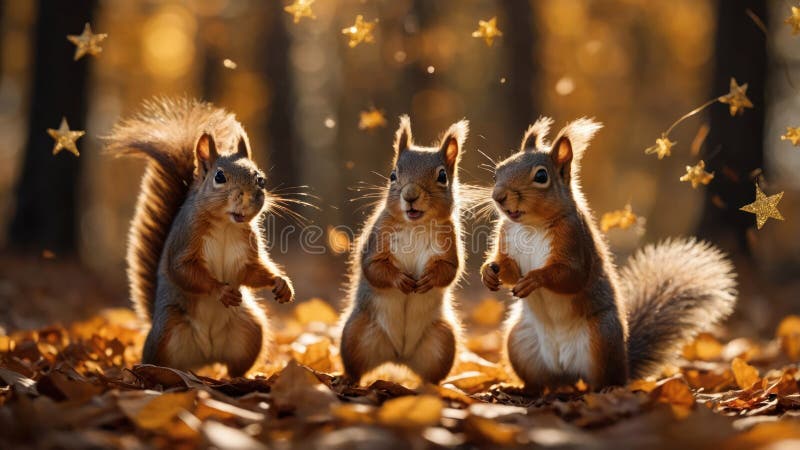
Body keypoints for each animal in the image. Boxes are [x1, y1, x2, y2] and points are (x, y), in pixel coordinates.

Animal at [106, 98, 295, 377]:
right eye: (219, 176)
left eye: (261, 179)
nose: (250, 197)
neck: (226, 225)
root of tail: (205, 357)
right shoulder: (186, 239)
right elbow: (183, 270)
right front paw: (220, 290)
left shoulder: (247, 251)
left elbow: (252, 271)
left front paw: (281, 283)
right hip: (167, 330)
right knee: (159, 360)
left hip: (250, 329)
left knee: (236, 366)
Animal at [340, 116, 469, 385]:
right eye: (392, 175)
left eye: (443, 176)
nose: (410, 196)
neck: (415, 225)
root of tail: (398, 356)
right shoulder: (377, 239)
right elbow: (373, 267)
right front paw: (400, 280)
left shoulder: (448, 243)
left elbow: (450, 269)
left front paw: (429, 279)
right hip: (355, 335)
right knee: (355, 366)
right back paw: (348, 381)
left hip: (443, 340)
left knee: (432, 375)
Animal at [480, 117, 737, 393]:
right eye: (498, 171)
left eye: (541, 176)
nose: (498, 196)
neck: (531, 226)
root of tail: (567, 372)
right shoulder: (506, 236)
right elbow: (508, 268)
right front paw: (489, 271)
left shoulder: (576, 242)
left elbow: (572, 276)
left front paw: (534, 278)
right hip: (519, 342)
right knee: (540, 382)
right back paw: (519, 389)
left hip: (602, 338)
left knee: (606, 378)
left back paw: (606, 390)